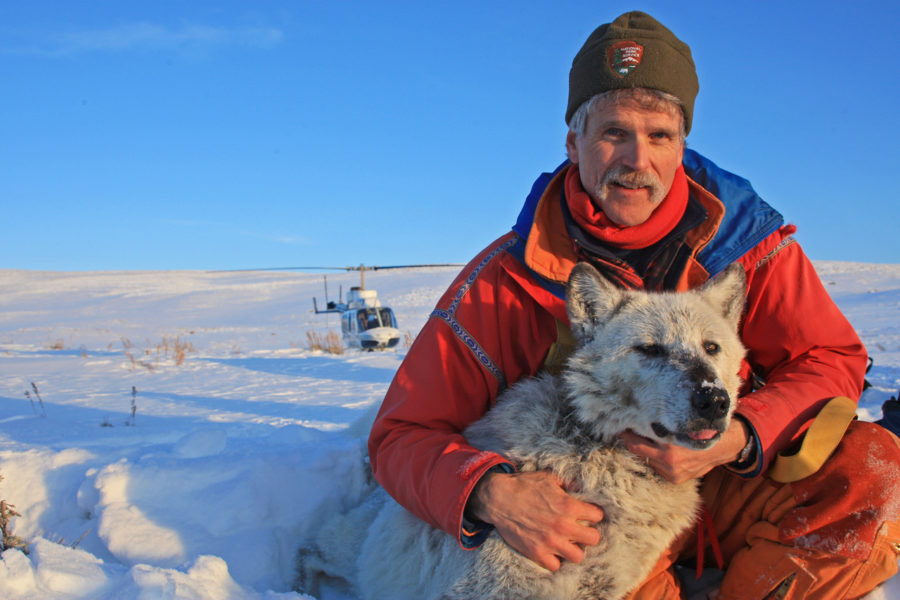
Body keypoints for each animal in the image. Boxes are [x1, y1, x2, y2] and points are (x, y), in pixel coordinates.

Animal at [298, 261, 747, 600]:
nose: (713, 401)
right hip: (349, 548)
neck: (601, 456)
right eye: (649, 349)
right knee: (308, 551)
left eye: (711, 348)